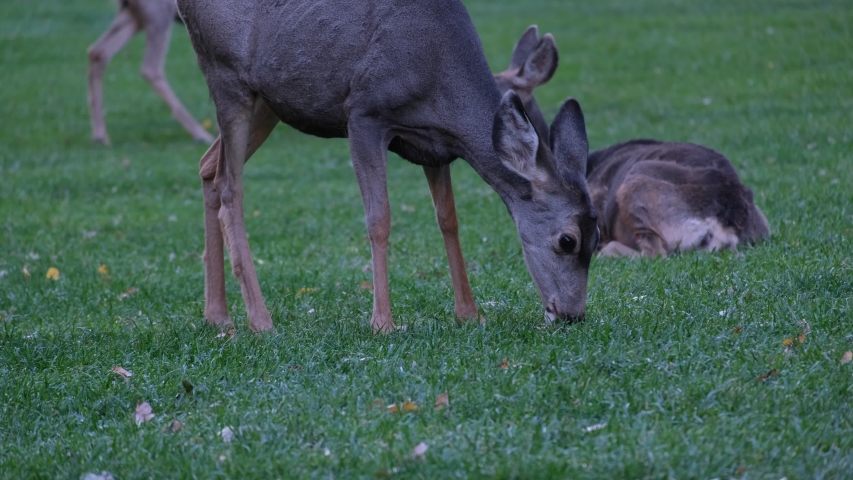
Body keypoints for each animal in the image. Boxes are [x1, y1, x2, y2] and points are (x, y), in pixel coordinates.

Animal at [87, 0, 214, 144]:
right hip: (158, 11)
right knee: (150, 68)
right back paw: (201, 134)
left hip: (132, 12)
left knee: (98, 51)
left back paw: (100, 136)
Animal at [177, 0, 599, 333]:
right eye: (567, 240)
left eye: (598, 239)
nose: (572, 314)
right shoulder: (365, 113)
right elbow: (379, 218)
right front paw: (383, 322)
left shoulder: (435, 148)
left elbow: (449, 219)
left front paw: (470, 313)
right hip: (226, 74)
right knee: (230, 187)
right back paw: (259, 320)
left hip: (268, 99)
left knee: (208, 167)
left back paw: (217, 315)